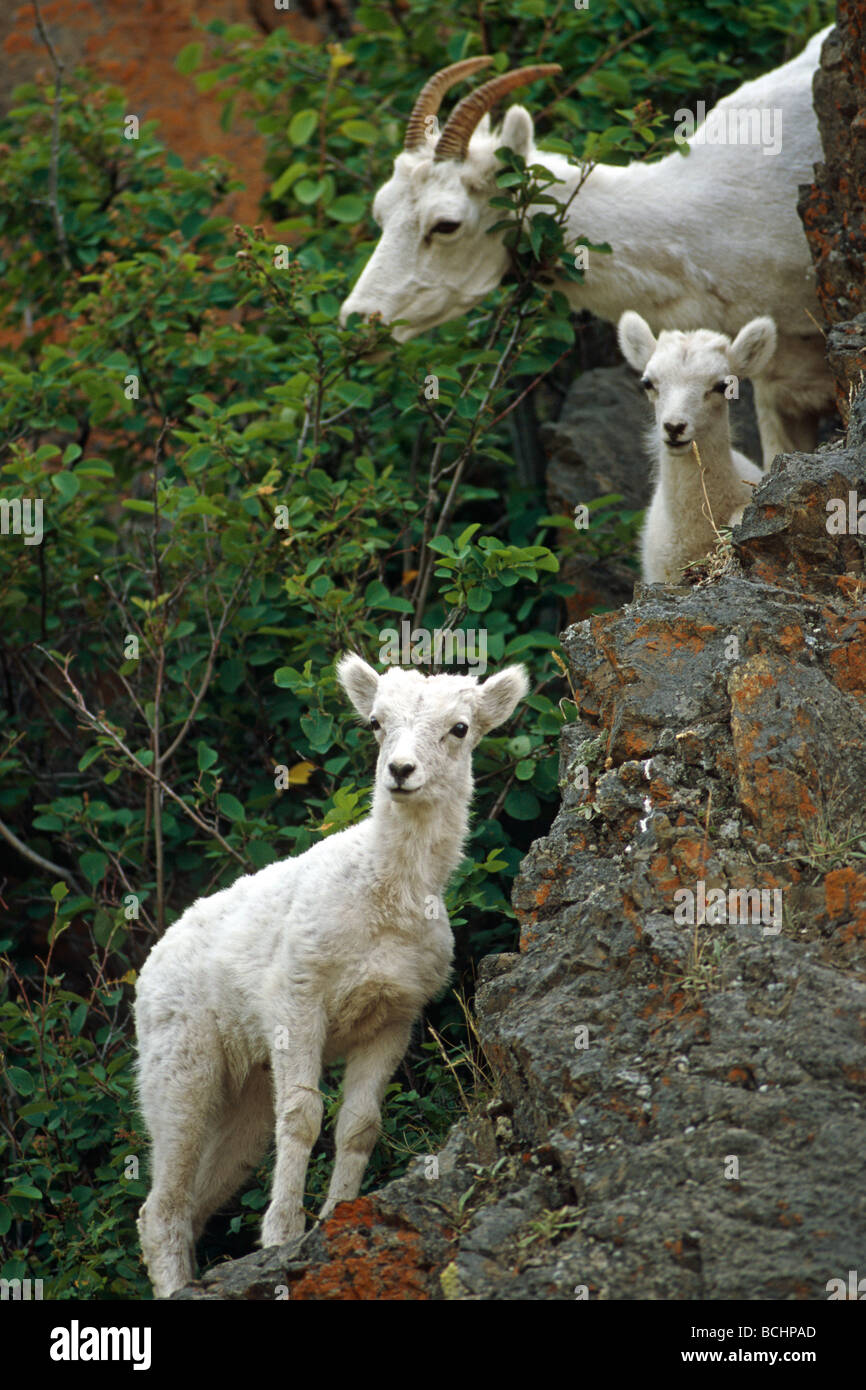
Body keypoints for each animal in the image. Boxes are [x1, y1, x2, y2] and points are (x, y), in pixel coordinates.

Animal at [134, 654, 529, 1298]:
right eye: (375, 723)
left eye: (460, 728)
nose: (400, 770)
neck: (385, 897)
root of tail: (149, 968)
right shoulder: (297, 998)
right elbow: (302, 1118)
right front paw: (280, 1237)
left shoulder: (394, 1018)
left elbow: (358, 1127)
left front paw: (334, 1217)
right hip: (179, 1063)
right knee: (160, 1206)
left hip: (244, 1089)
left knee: (197, 1197)